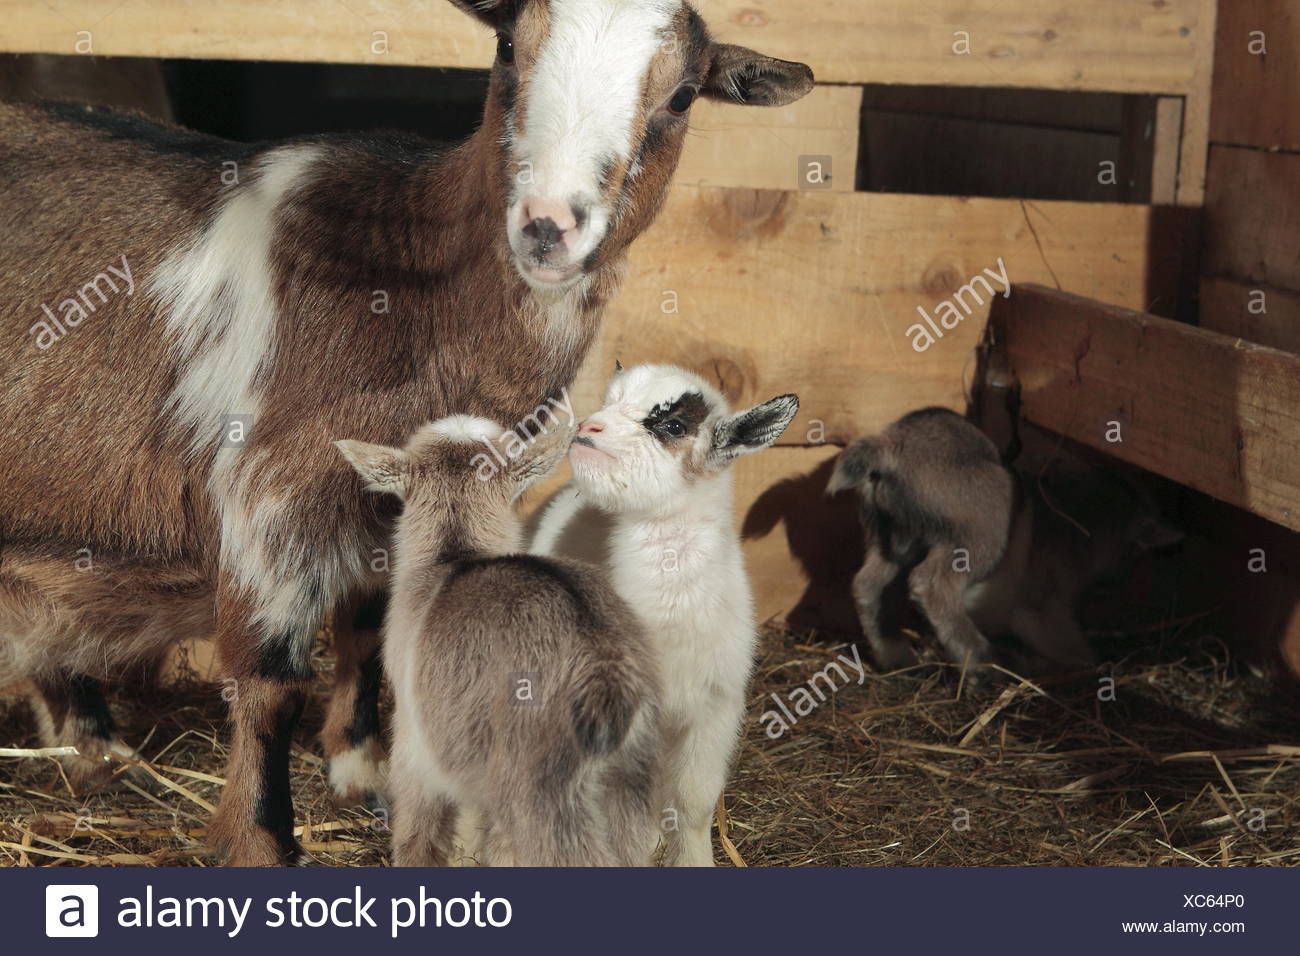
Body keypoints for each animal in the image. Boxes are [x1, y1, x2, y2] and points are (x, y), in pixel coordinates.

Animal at [337, 416, 661, 866]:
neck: (456, 553)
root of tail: (604, 668)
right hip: (630, 780)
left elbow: (417, 832)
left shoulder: (414, 745)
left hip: (541, 789)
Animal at [827, 407, 1182, 679]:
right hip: (978, 536)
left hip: (888, 537)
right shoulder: (1044, 607)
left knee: (868, 585)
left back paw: (894, 655)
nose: (1120, 582)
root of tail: (890, 447)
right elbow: (1077, 653)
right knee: (931, 586)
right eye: (1137, 552)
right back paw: (981, 663)